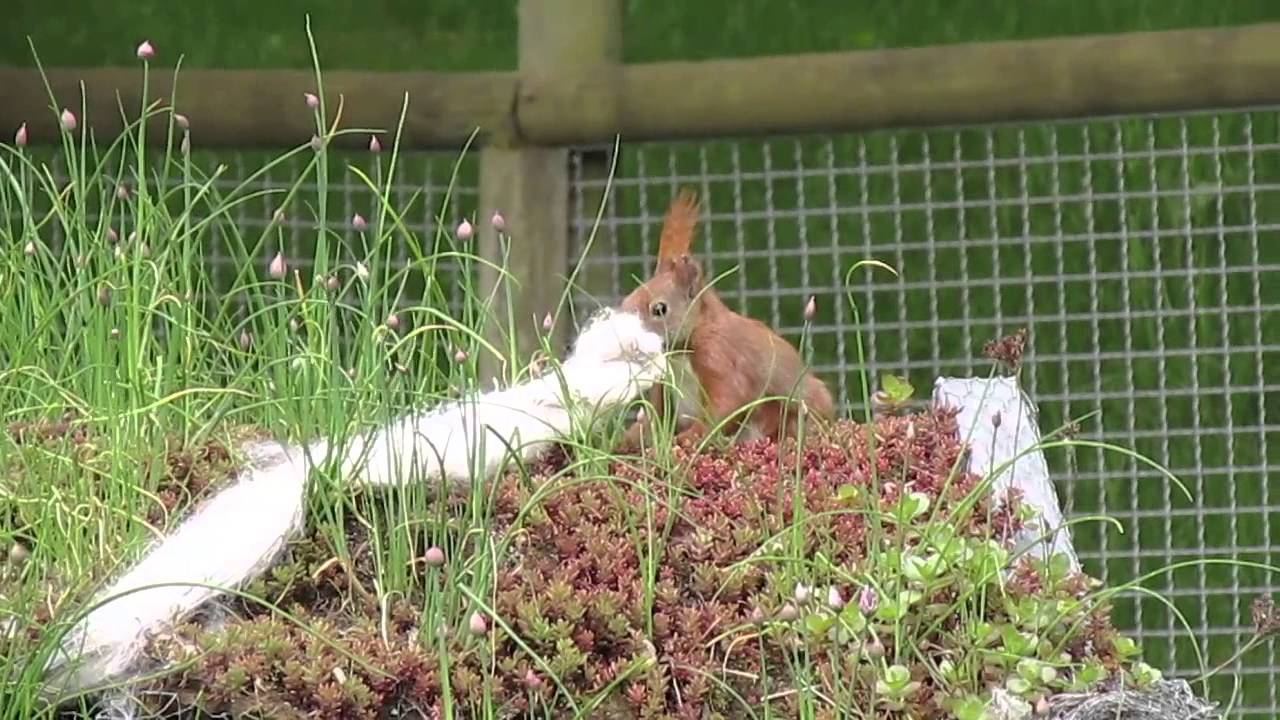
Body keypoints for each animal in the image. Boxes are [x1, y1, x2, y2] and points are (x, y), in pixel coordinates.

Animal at [618, 188, 836, 448]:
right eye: (626, 300)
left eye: (659, 309)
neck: (680, 353)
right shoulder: (664, 388)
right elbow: (655, 421)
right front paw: (626, 443)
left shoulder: (720, 356)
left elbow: (728, 404)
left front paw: (687, 439)